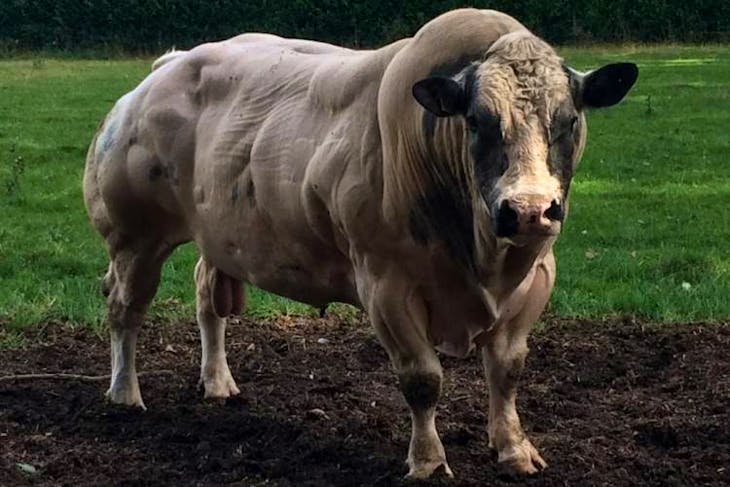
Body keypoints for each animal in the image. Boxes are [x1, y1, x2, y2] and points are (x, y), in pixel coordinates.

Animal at [83, 8, 637, 479]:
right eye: (478, 121)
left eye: (568, 120)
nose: (528, 210)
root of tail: (167, 67)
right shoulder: (386, 285)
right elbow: (422, 380)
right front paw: (428, 461)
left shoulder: (536, 279)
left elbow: (507, 371)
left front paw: (514, 450)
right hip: (134, 238)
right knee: (125, 310)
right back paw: (125, 393)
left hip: (217, 235)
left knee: (207, 299)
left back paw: (217, 382)